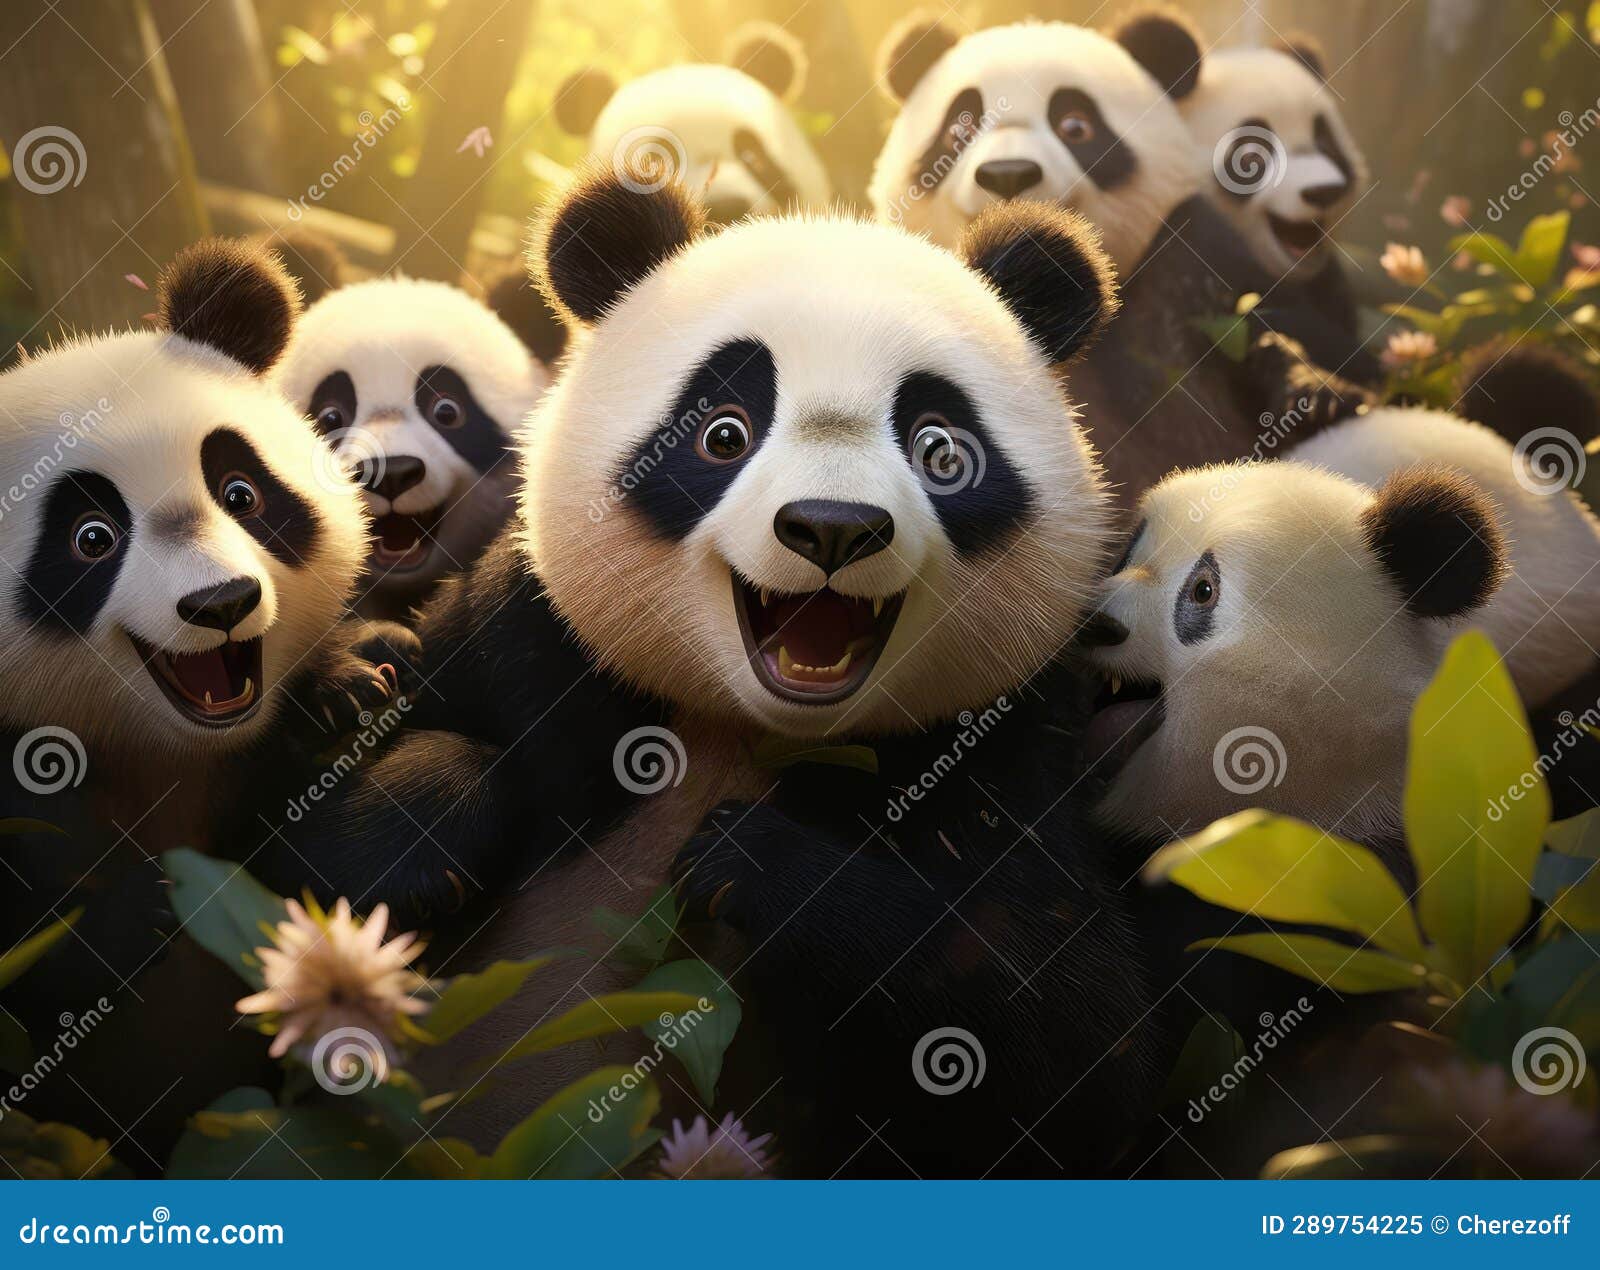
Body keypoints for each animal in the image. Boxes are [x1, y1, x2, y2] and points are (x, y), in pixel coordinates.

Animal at [0, 238, 415, 1162]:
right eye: (91, 538)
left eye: (242, 494)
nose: (220, 604)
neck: (163, 749)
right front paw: (134, 914)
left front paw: (343, 689)